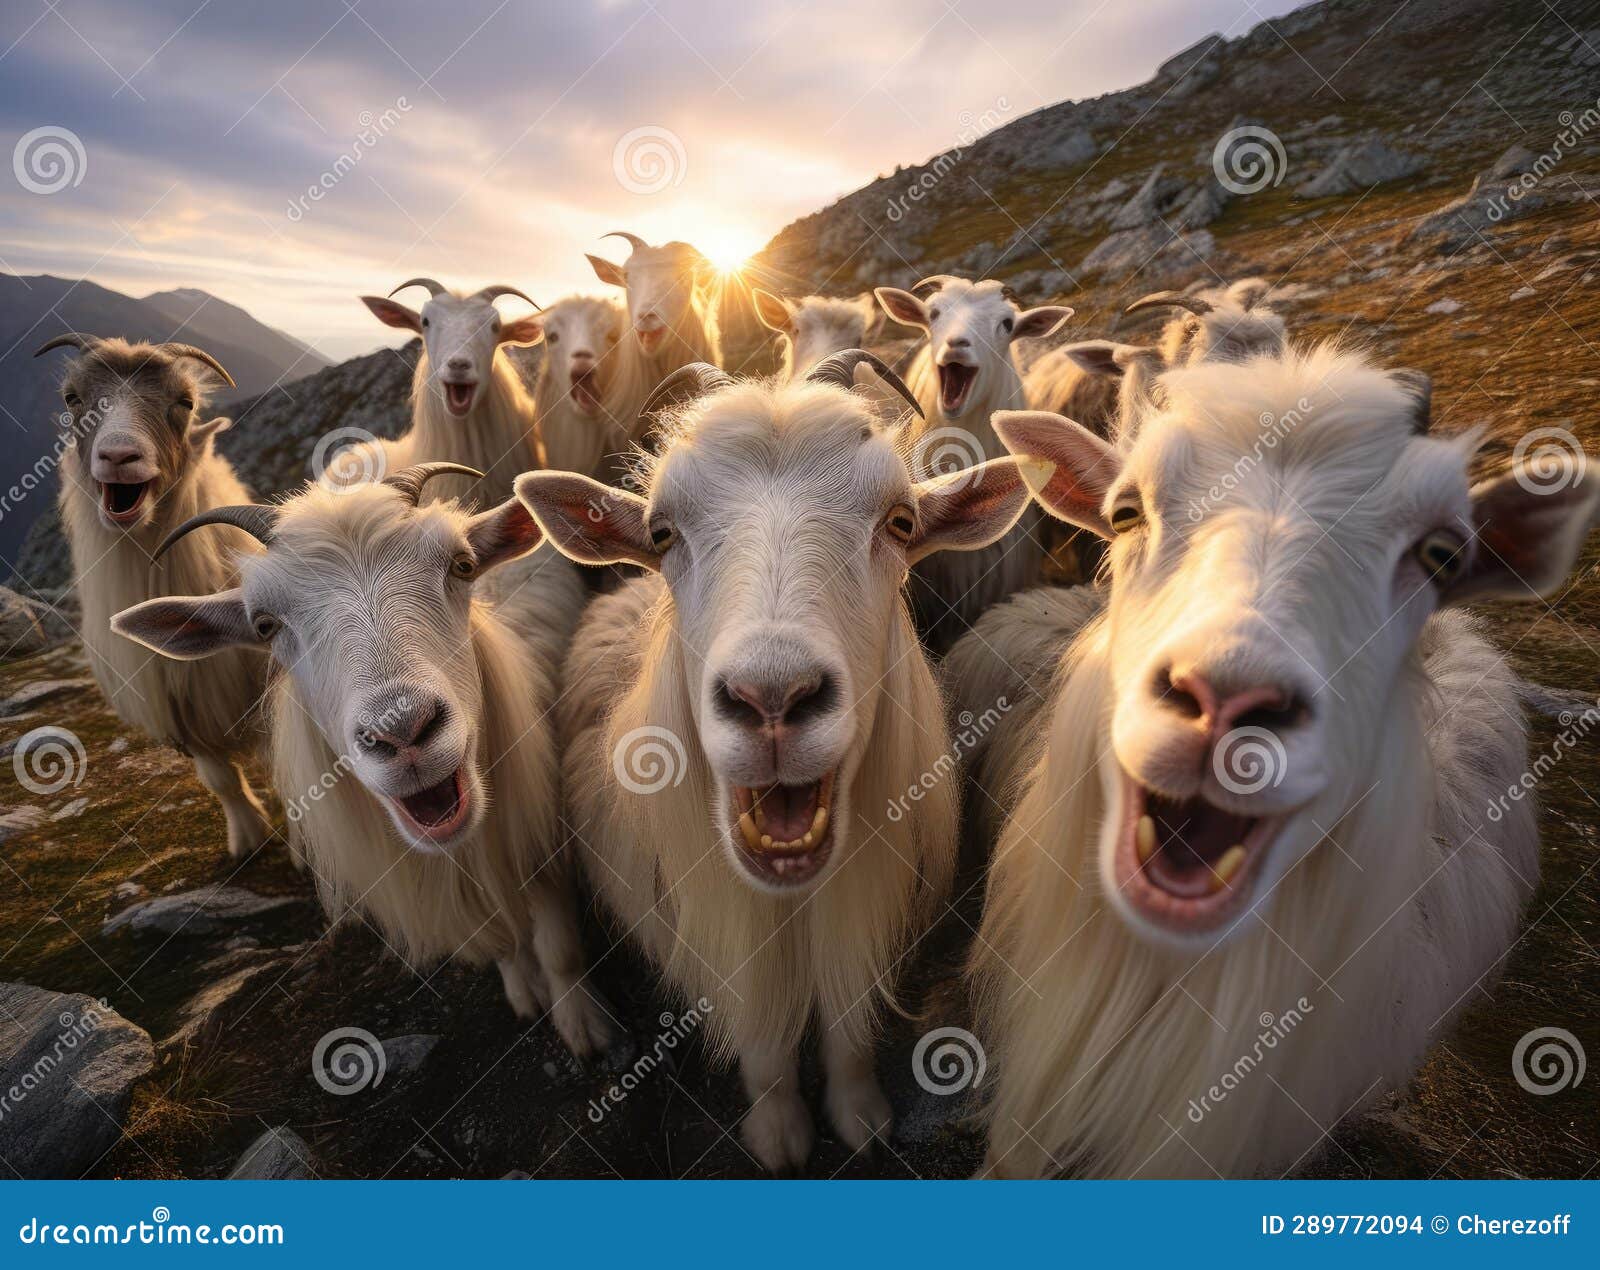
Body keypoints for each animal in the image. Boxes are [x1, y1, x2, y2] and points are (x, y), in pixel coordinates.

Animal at [37, 333, 271, 860]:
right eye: (72, 398)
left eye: (184, 402)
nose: (119, 456)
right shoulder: (182, 718)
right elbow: (221, 779)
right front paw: (249, 839)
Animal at [112, 465, 617, 1057]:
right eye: (265, 626)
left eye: (462, 565)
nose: (403, 729)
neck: (466, 852)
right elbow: (506, 950)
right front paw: (524, 993)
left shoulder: (542, 840)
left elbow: (560, 945)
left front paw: (585, 1027)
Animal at [516, 353, 1032, 1172]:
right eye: (662, 532)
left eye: (900, 522)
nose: (773, 697)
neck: (794, 905)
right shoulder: (730, 949)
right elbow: (763, 1049)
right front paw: (780, 1135)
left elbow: (849, 1030)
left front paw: (859, 1117)